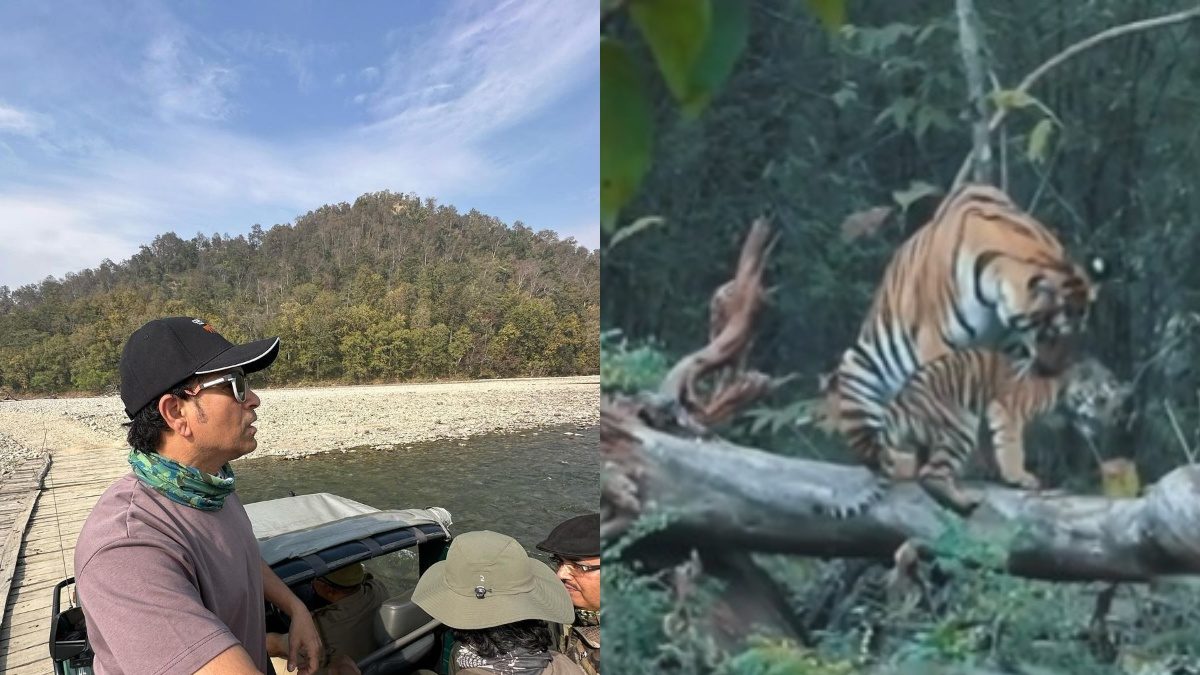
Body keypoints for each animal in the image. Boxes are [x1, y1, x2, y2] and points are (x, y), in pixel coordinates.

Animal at [831, 184, 1100, 473]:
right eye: (1052, 333)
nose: (1058, 373)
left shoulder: (1012, 351)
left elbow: (1007, 410)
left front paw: (1002, 465)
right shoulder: (937, 342)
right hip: (859, 369)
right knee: (875, 446)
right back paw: (902, 459)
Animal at [870, 348, 1129, 514]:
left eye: (1115, 407)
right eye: (1102, 400)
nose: (1110, 424)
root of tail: (902, 399)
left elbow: (990, 444)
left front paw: (993, 471)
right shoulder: (1006, 409)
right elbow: (1012, 446)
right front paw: (1019, 476)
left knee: (920, 469)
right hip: (962, 425)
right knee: (930, 473)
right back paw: (966, 501)